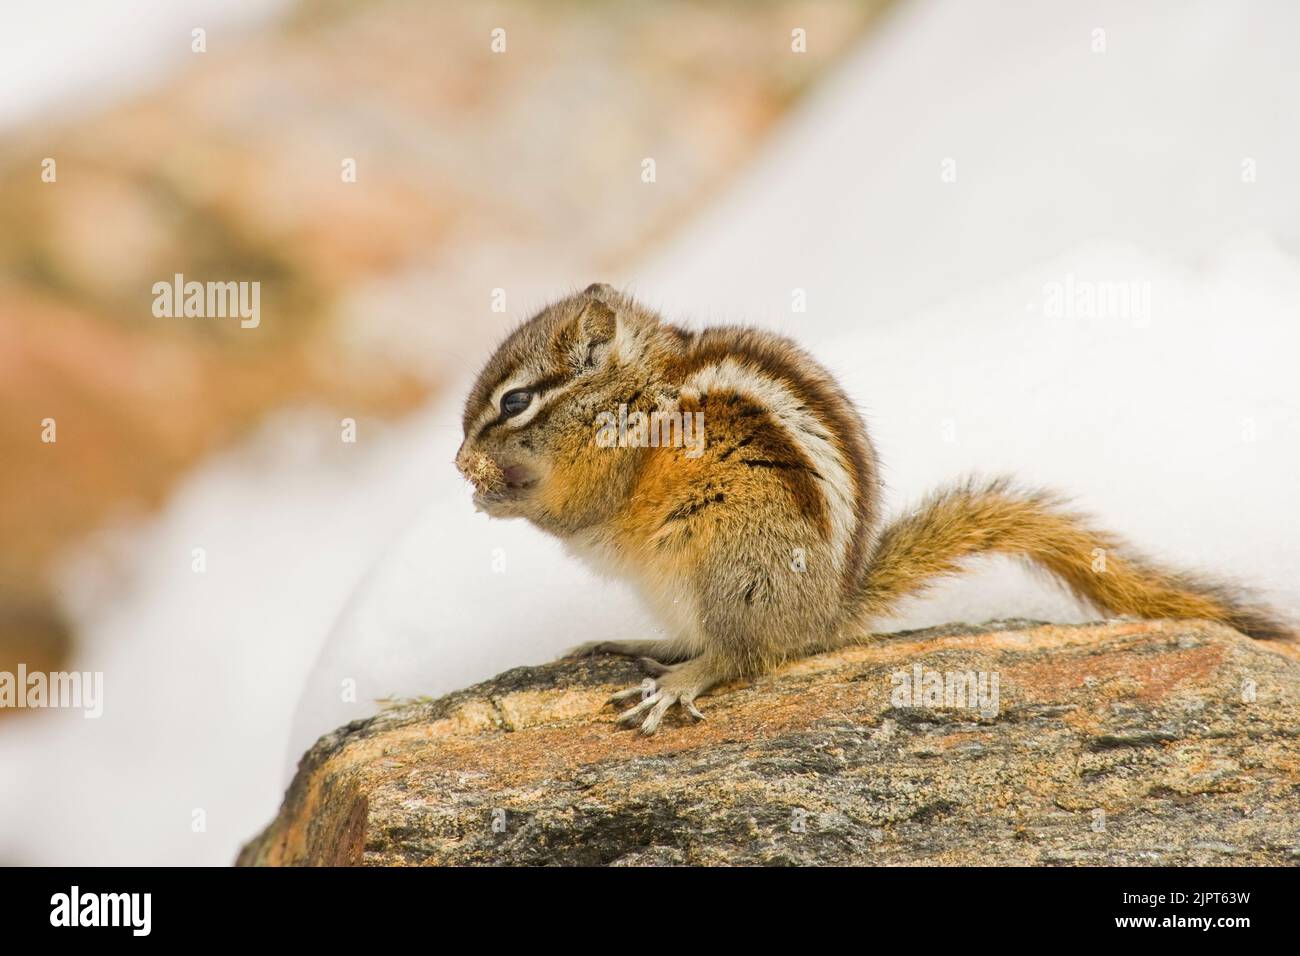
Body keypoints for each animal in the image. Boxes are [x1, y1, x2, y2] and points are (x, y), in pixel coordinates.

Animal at [456, 283, 1294, 735]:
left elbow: (575, 507)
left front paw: (491, 492)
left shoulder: (612, 467)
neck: (630, 389)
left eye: (515, 400)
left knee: (745, 654)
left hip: (729, 558)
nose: (458, 455)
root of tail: (826, 613)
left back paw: (679, 682)